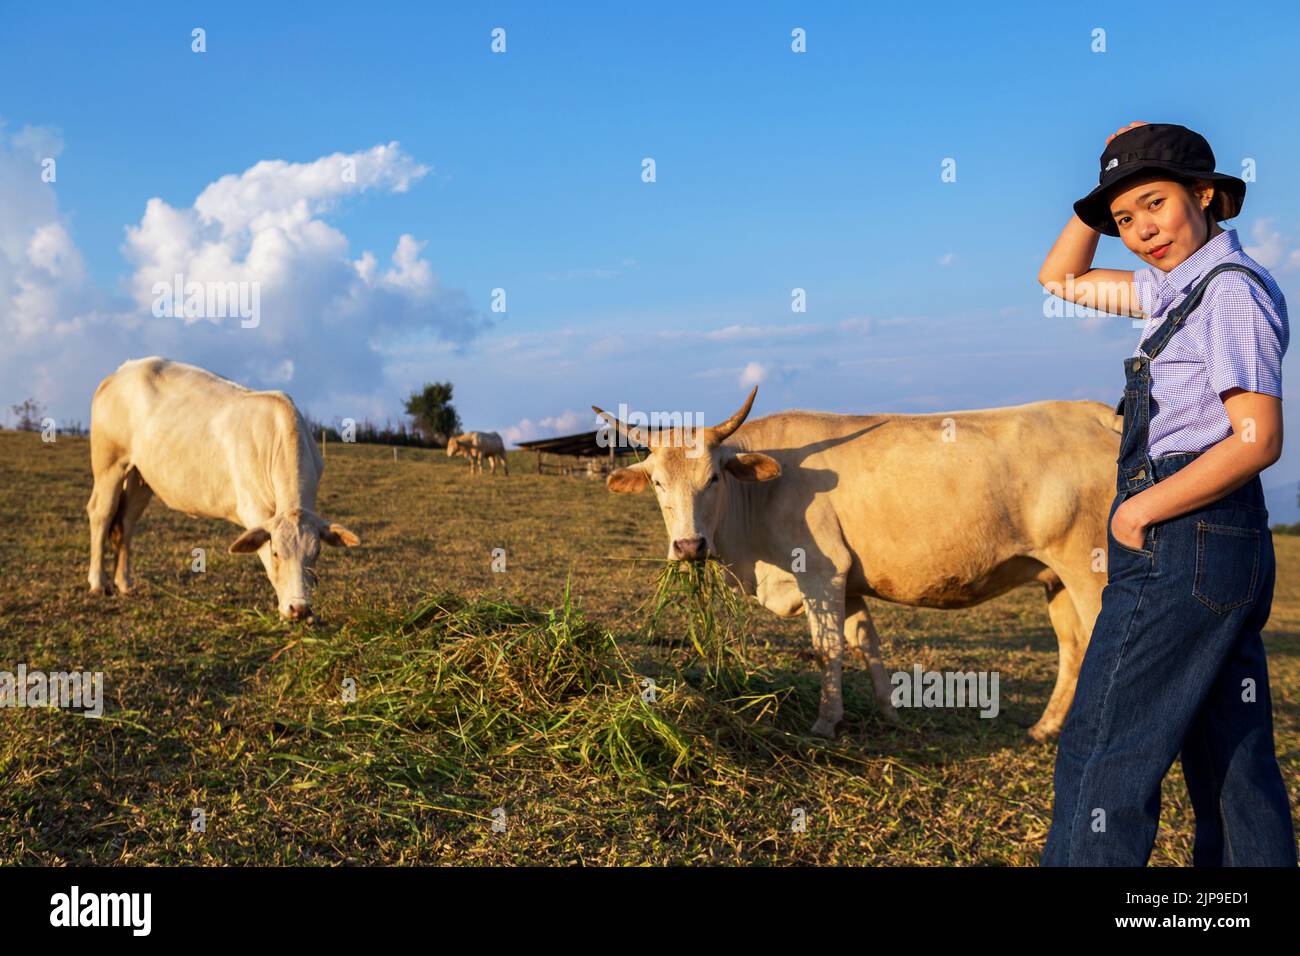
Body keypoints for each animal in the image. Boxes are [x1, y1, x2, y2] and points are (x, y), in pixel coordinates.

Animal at [86, 357, 360, 621]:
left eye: (316, 552)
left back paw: (124, 583)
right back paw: (98, 582)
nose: (299, 609)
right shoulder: (254, 510)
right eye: (276, 553)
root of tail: (123, 370)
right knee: (101, 513)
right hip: (109, 463)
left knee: (126, 522)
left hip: (140, 476)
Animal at [593, 387, 1120, 741]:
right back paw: (1045, 728)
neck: (761, 494)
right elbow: (867, 641)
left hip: (1090, 571)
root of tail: (1099, 416)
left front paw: (826, 723)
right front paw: (891, 712)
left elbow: (828, 649)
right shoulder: (846, 584)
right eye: (657, 482)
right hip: (1055, 579)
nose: (688, 546)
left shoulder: (820, 573)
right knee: (1073, 646)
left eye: (714, 477)